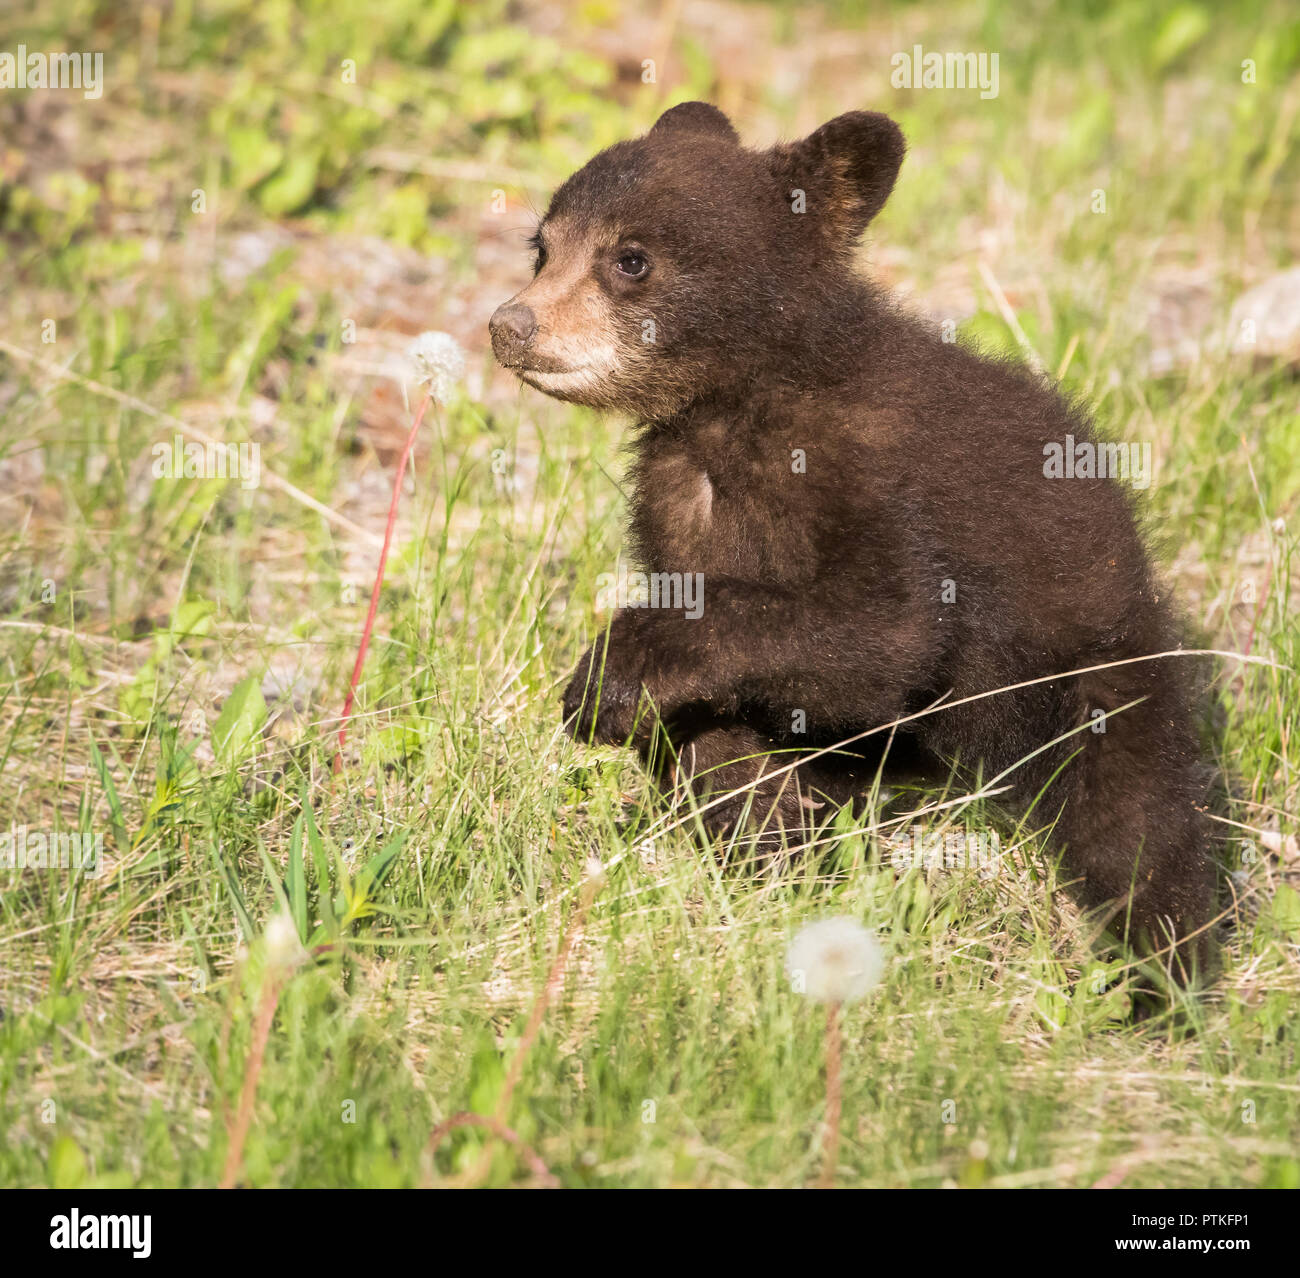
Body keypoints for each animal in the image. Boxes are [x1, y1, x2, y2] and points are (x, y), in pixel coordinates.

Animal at [489, 101, 1219, 984]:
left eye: (630, 259)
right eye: (544, 246)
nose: (510, 326)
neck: (738, 404)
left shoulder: (865, 479)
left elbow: (883, 628)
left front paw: (612, 678)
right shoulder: (675, 501)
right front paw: (765, 831)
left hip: (1096, 670)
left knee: (1136, 822)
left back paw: (1165, 971)